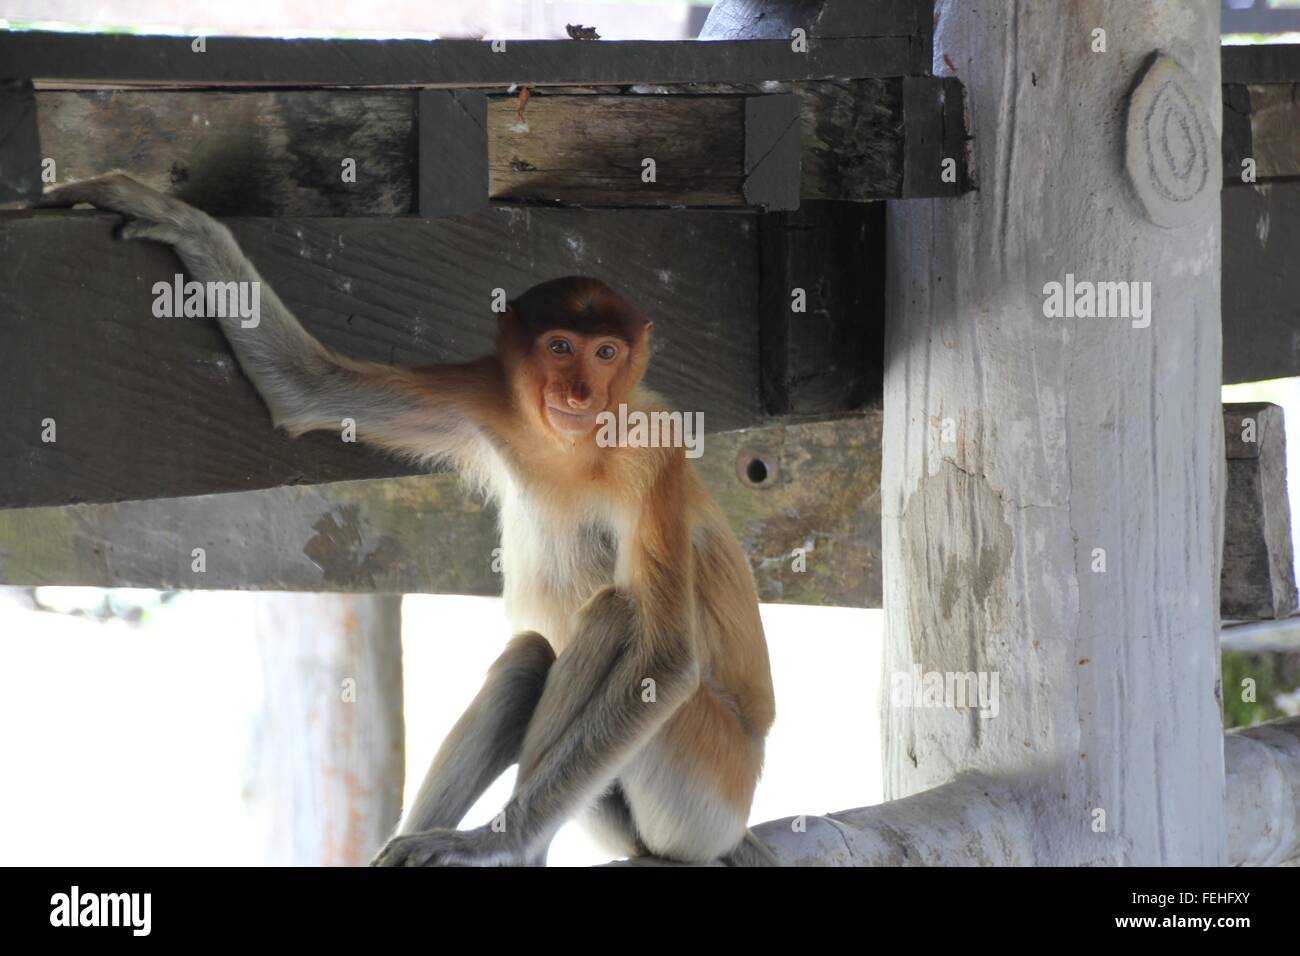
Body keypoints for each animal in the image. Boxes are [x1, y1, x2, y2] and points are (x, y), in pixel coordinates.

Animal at [36, 173, 778, 867]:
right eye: (561, 346)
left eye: (606, 354)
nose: (578, 395)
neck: (572, 447)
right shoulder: (486, 394)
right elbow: (311, 388)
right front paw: (172, 217)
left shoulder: (652, 450)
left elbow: (669, 659)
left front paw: (493, 841)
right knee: (527, 660)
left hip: (701, 794)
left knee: (620, 617)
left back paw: (514, 847)